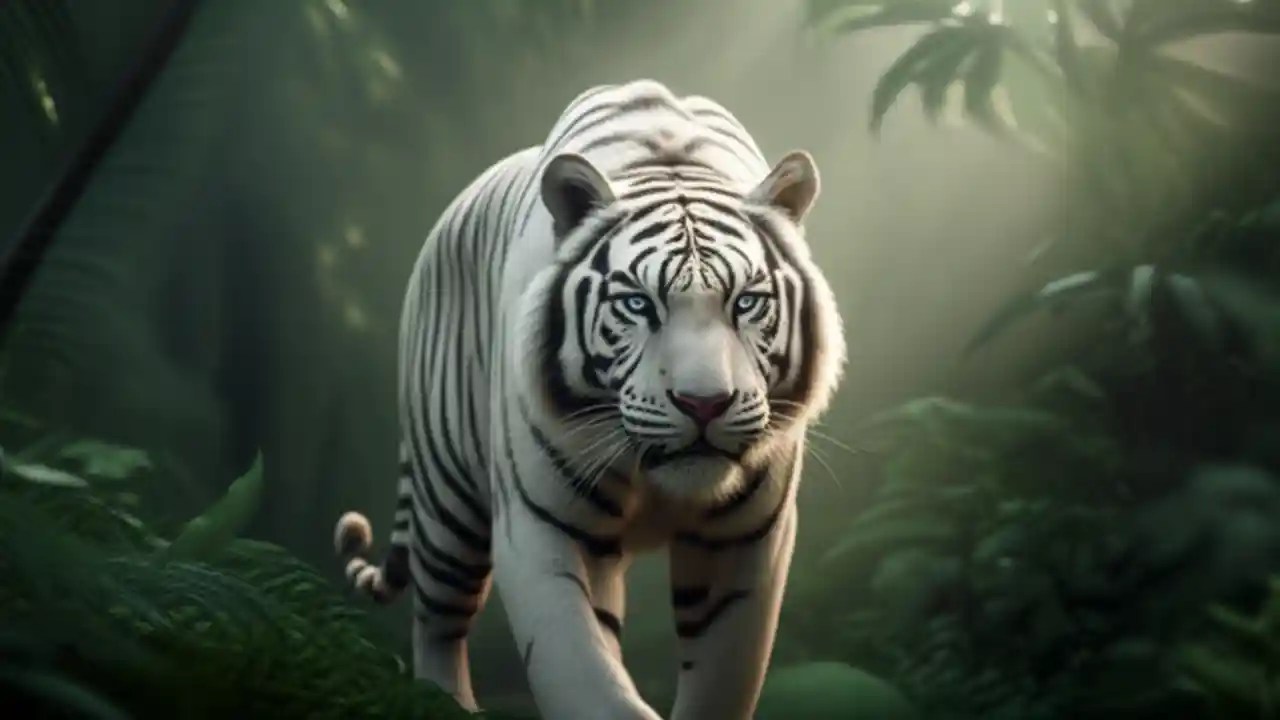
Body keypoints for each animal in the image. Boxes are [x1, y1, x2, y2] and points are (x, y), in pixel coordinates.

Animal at [333, 79, 845, 720]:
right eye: (638, 304)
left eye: (747, 302)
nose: (704, 403)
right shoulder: (541, 528)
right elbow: (588, 683)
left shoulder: (744, 542)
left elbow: (720, 682)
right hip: (447, 502)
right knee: (437, 624)